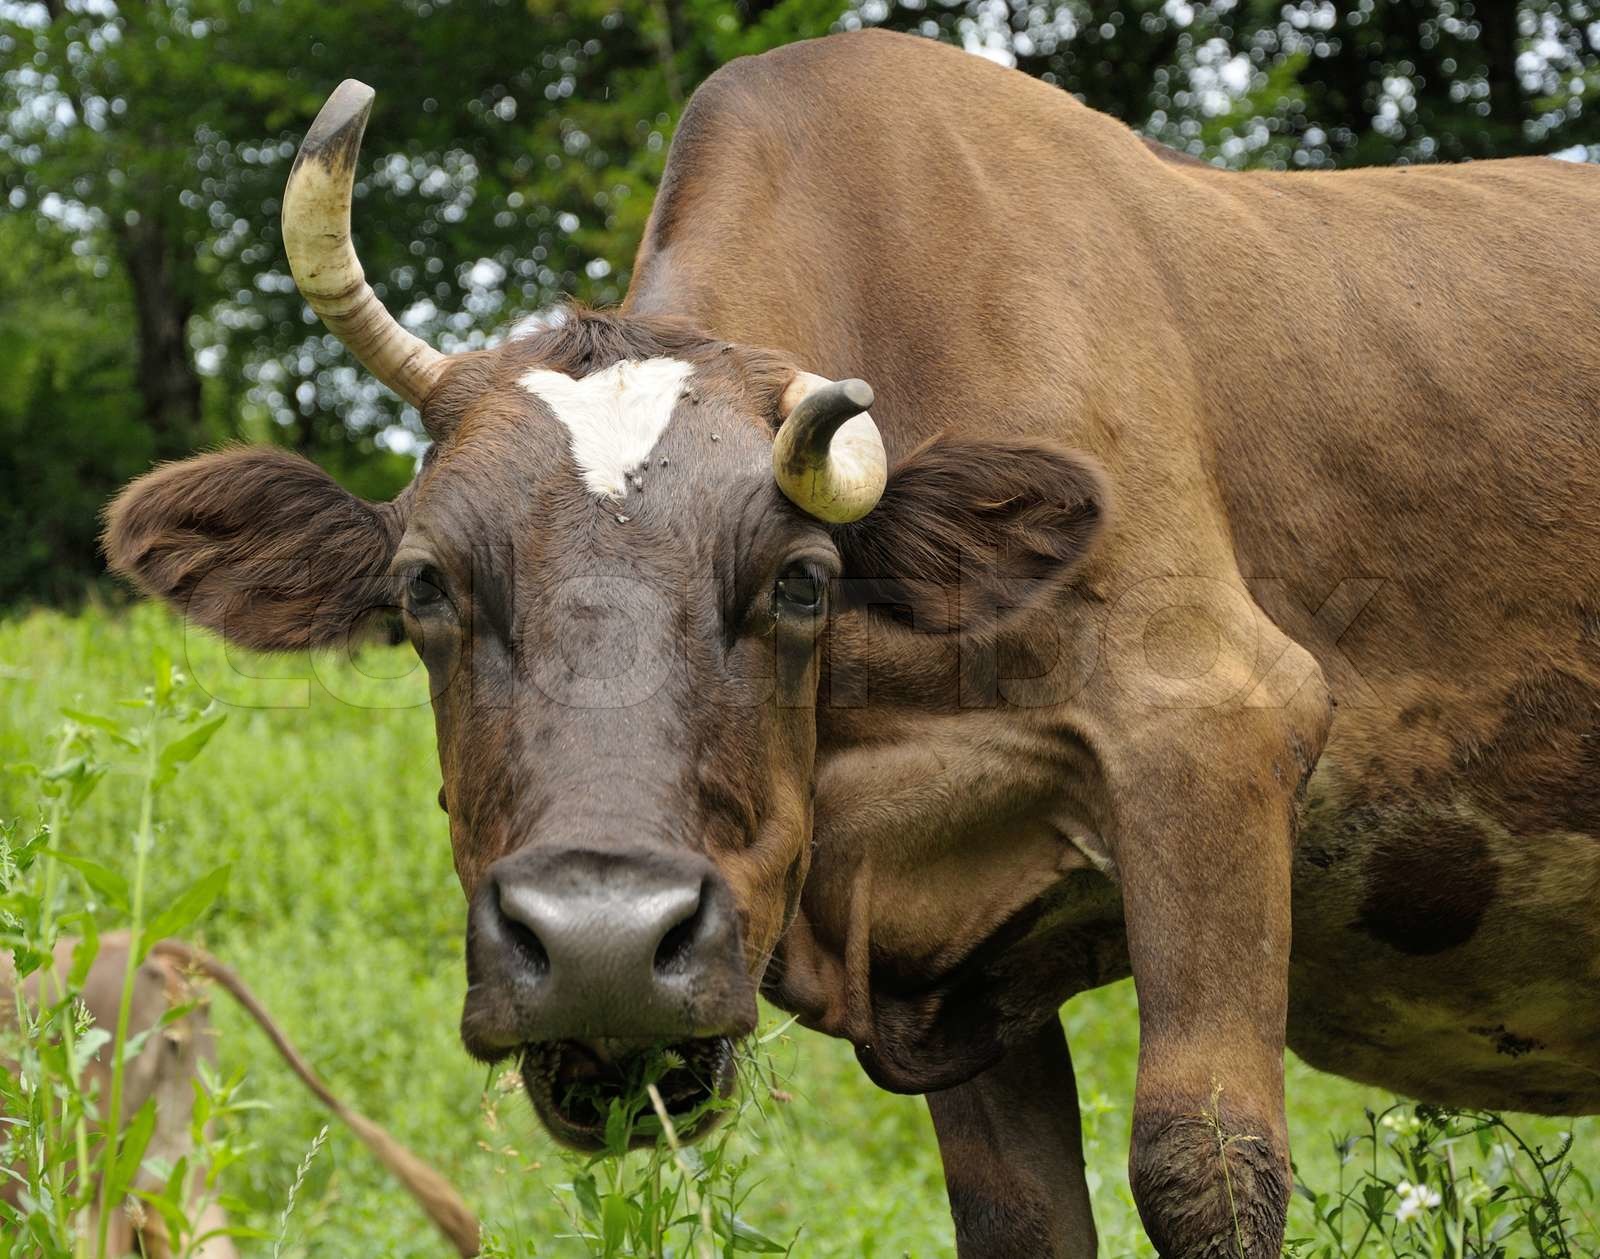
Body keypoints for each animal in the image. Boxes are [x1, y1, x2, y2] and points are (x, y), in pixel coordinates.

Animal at [102, 29, 1600, 1258]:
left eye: (802, 579)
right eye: (421, 585)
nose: (598, 943)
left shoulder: (1212, 729)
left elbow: (1207, 1167)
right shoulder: (958, 961)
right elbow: (1018, 1216)